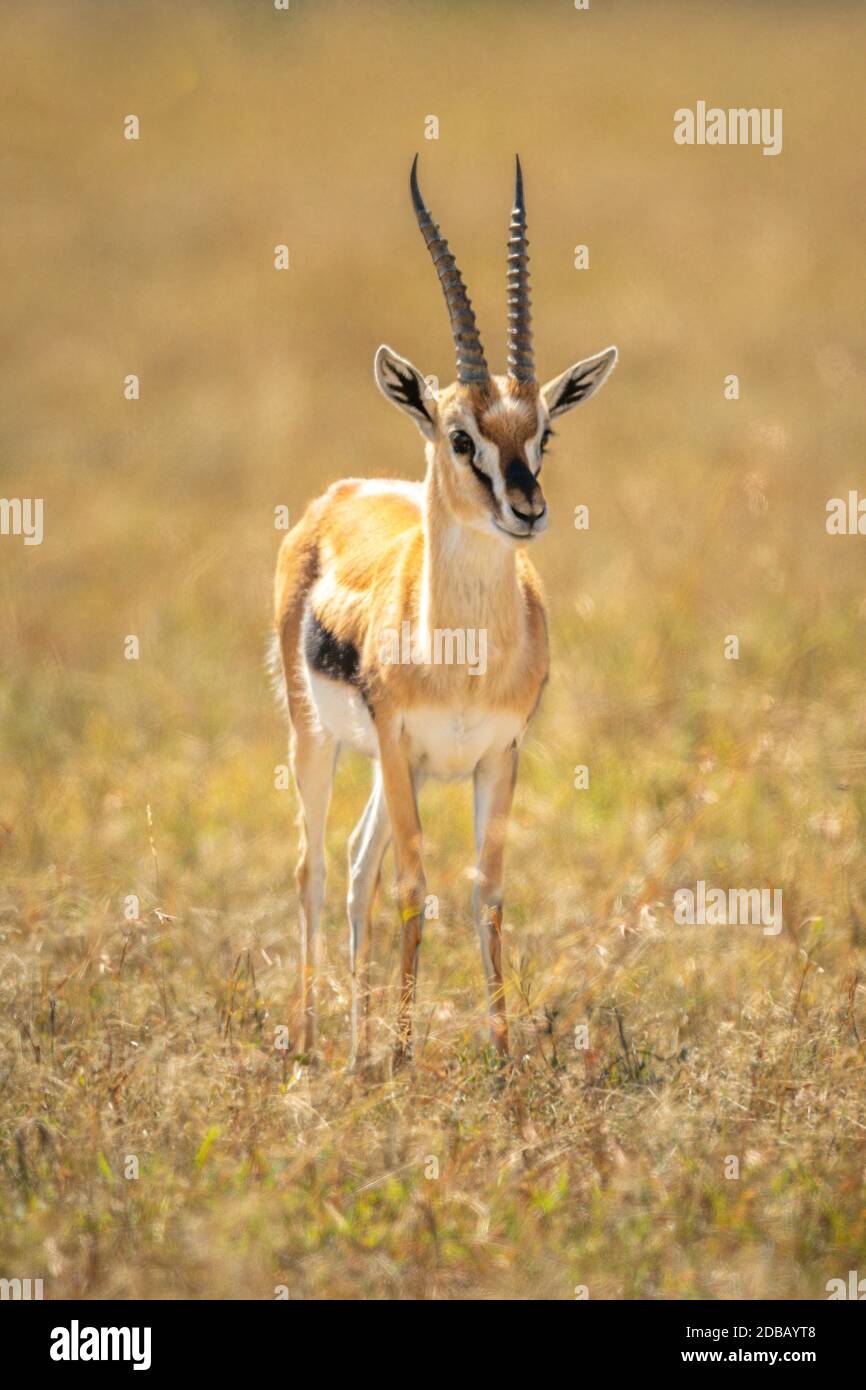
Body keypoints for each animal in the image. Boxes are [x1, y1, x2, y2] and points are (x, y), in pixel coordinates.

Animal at [274, 155, 617, 1066]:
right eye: (462, 436)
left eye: (543, 434)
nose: (528, 510)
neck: (460, 655)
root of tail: (344, 492)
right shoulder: (398, 744)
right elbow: (412, 888)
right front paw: (402, 1057)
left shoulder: (496, 754)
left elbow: (485, 893)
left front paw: (500, 1056)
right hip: (317, 739)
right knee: (318, 868)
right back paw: (316, 1043)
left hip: (403, 770)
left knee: (356, 862)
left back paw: (356, 1049)